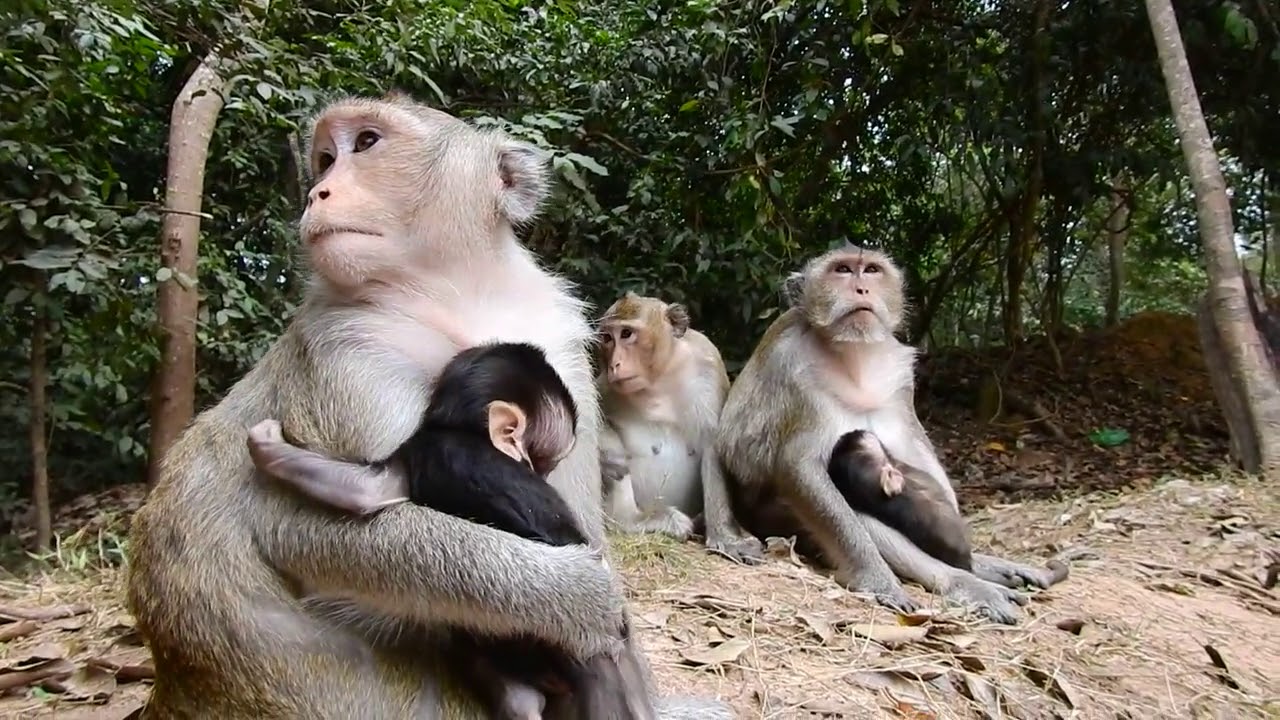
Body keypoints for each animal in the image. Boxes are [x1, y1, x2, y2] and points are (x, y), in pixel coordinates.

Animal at [245, 341, 652, 720]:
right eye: (546, 462)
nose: (543, 474)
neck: (460, 431)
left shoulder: (417, 449)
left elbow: (368, 490)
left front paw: (266, 445)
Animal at [595, 292, 764, 563]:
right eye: (607, 338)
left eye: (627, 334)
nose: (615, 365)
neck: (658, 378)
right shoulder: (607, 384)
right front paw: (610, 451)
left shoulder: (708, 363)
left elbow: (714, 445)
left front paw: (725, 537)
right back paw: (634, 520)